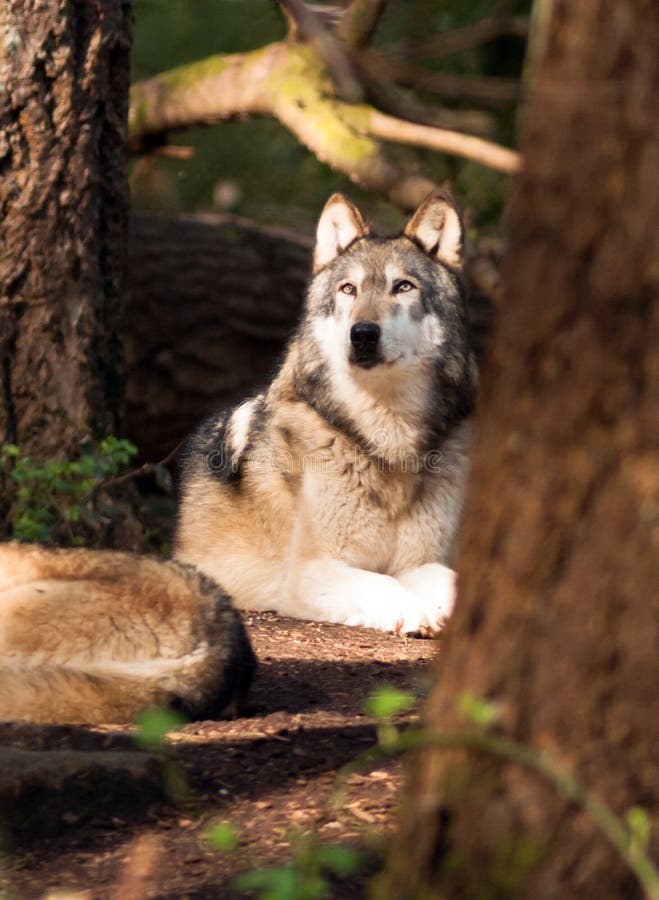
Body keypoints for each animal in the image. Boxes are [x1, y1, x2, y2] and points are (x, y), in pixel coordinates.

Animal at [175, 191, 477, 635]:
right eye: (348, 289)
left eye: (403, 286)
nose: (363, 334)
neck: (386, 443)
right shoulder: (311, 571)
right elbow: (382, 583)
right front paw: (415, 611)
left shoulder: (421, 562)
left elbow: (450, 579)